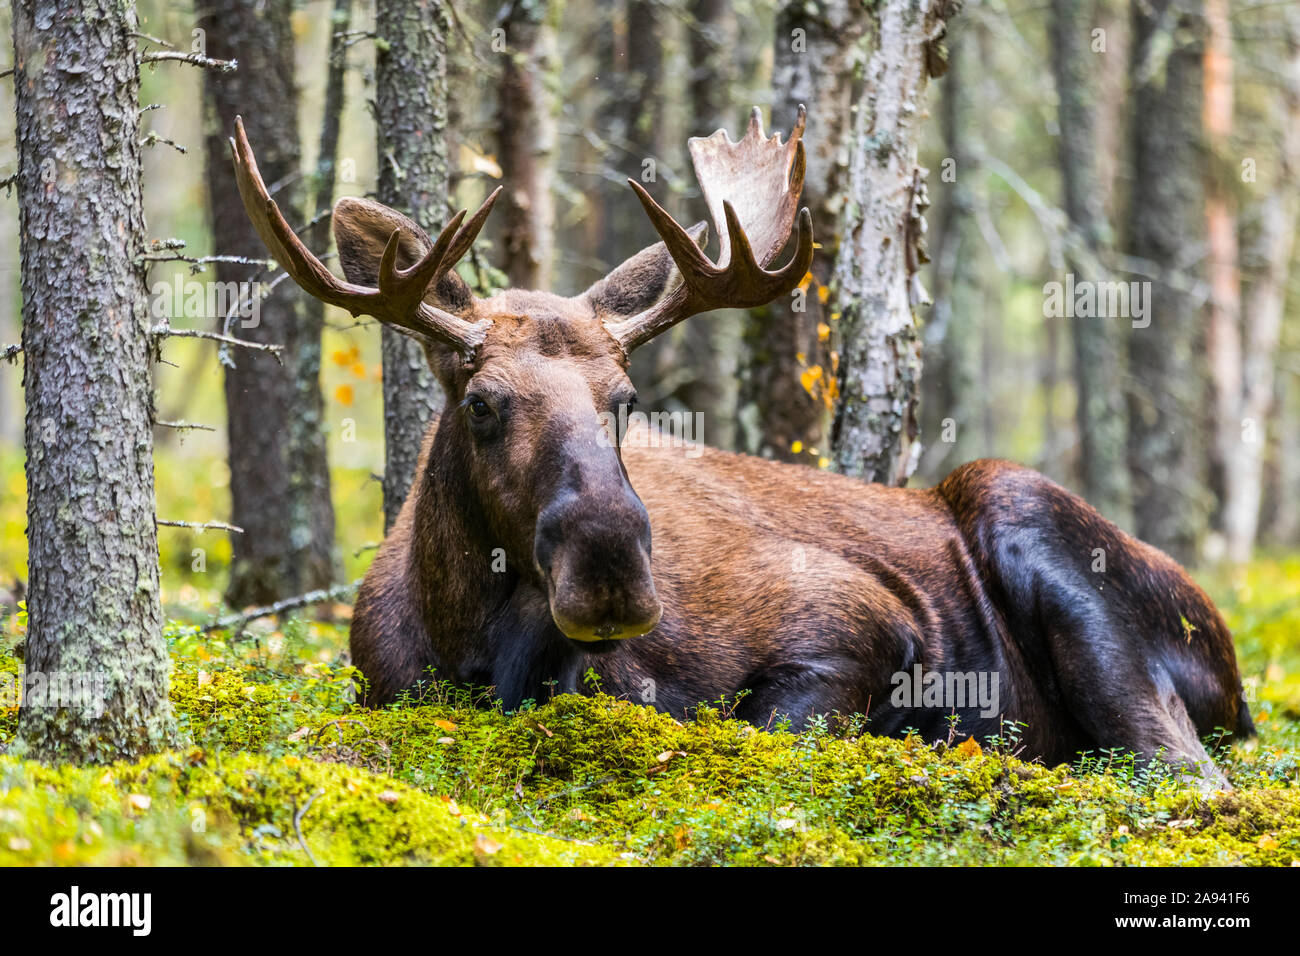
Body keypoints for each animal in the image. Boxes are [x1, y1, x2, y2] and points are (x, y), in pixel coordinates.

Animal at [229, 107, 1252, 787]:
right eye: (481, 402)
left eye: (626, 401)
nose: (611, 566)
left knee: (1184, 772)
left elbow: (768, 728)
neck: (469, 639)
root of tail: (1240, 676)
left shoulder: (861, 621)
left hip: (1024, 509)